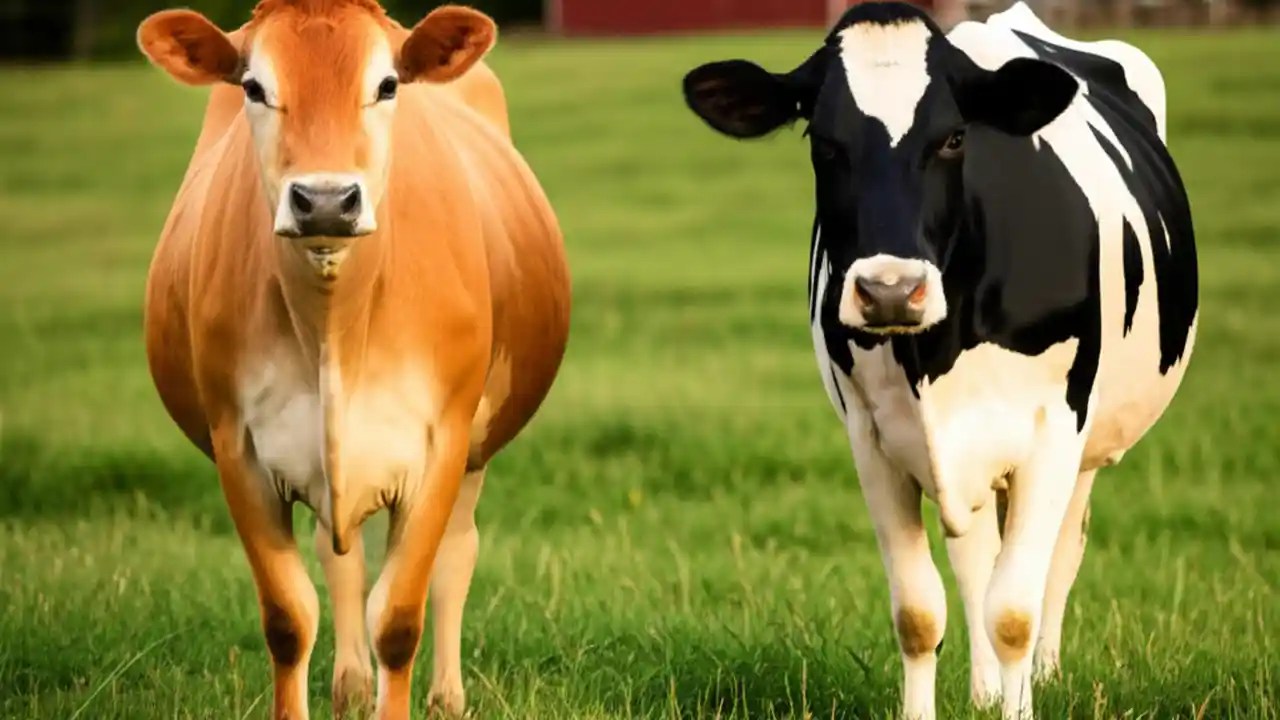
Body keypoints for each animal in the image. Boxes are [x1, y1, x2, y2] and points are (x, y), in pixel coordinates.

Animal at [135, 2, 570, 718]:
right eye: (254, 86)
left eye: (387, 84)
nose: (325, 200)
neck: (334, 323)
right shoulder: (239, 449)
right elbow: (289, 619)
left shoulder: (441, 444)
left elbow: (397, 619)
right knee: (339, 560)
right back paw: (350, 685)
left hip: (477, 449)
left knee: (457, 555)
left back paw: (446, 697)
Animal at [681, 2, 1196, 718]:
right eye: (822, 141)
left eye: (953, 138)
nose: (891, 290)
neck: (937, 350)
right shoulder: (872, 438)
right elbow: (921, 612)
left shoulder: (1056, 428)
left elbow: (1015, 610)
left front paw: (1023, 700)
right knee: (977, 559)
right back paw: (984, 691)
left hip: (1084, 443)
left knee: (1060, 556)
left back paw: (1045, 675)